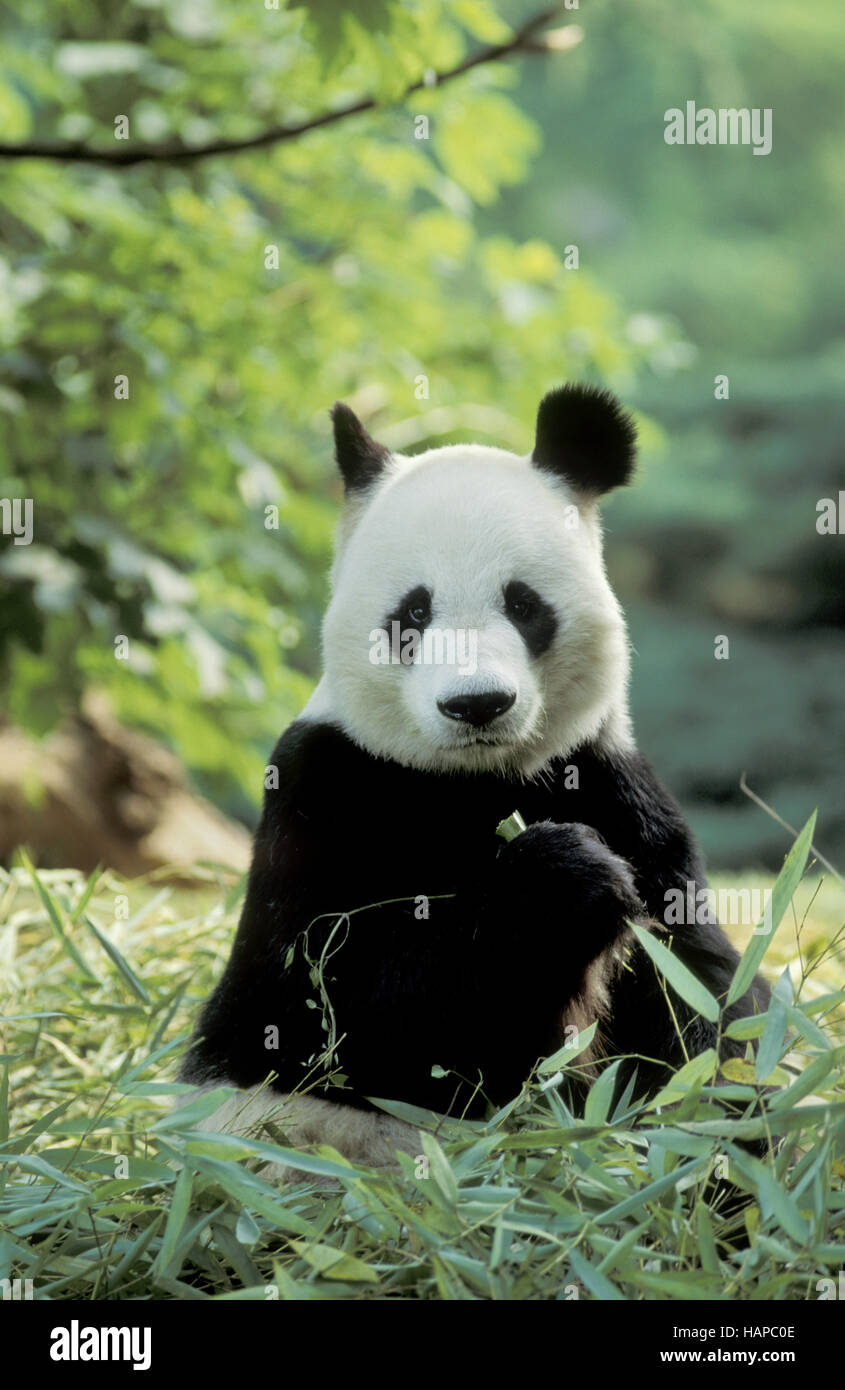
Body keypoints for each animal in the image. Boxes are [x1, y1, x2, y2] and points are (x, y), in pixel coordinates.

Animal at [180, 384, 770, 1172]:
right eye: (413, 612)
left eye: (522, 604)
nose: (477, 703)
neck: (472, 775)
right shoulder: (320, 795)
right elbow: (328, 1017)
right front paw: (559, 880)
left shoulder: (612, 787)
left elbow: (697, 989)